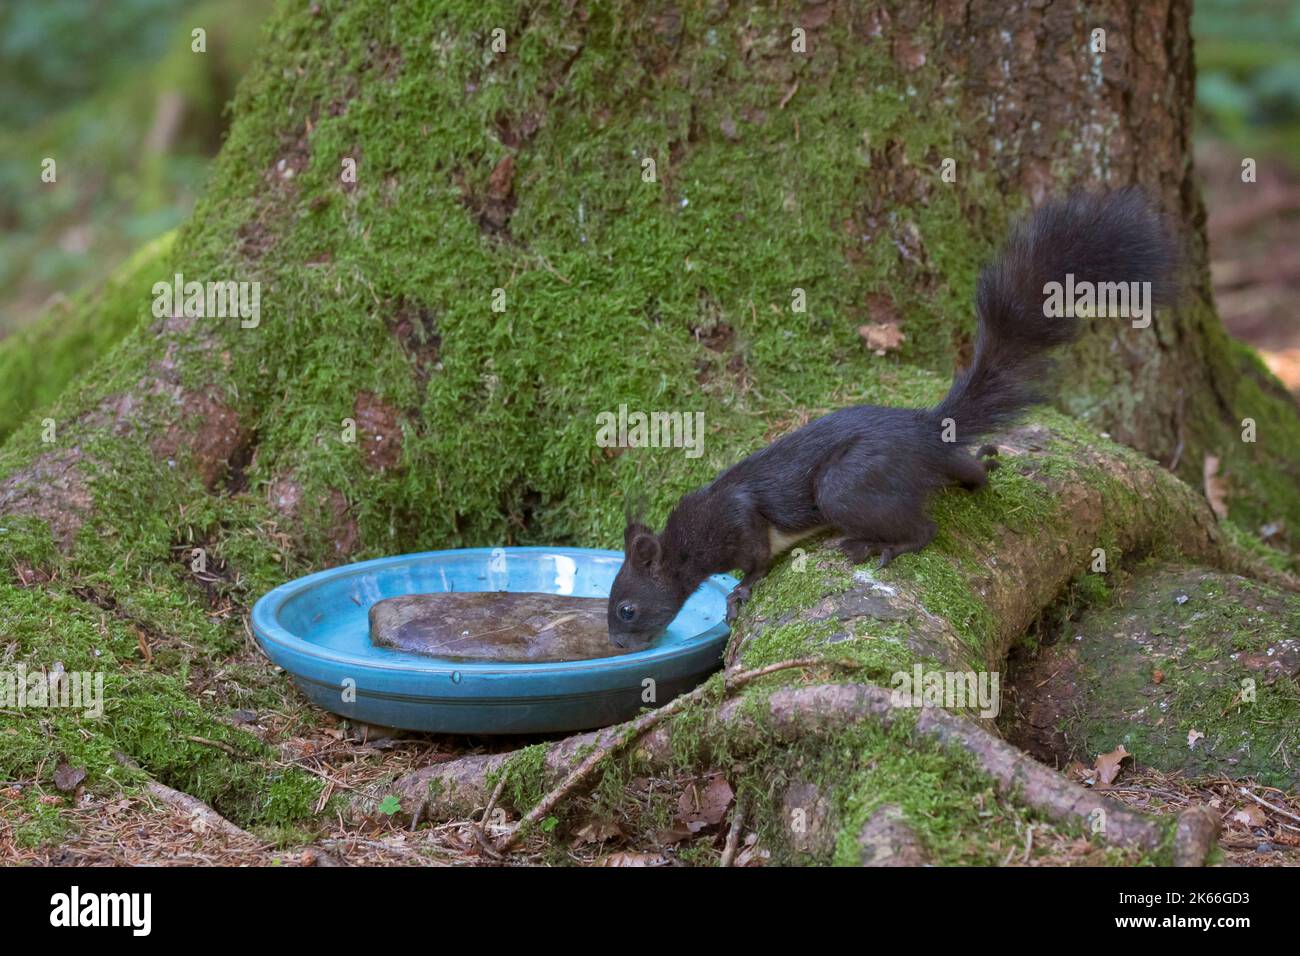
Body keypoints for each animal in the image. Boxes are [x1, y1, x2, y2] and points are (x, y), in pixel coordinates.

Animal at [607, 189, 1180, 648]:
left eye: (626, 609)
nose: (614, 643)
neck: (688, 541)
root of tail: (925, 430)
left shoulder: (738, 518)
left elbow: (755, 559)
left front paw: (741, 592)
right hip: (929, 465)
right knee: (962, 472)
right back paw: (982, 466)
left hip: (847, 484)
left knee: (923, 527)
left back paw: (882, 543)